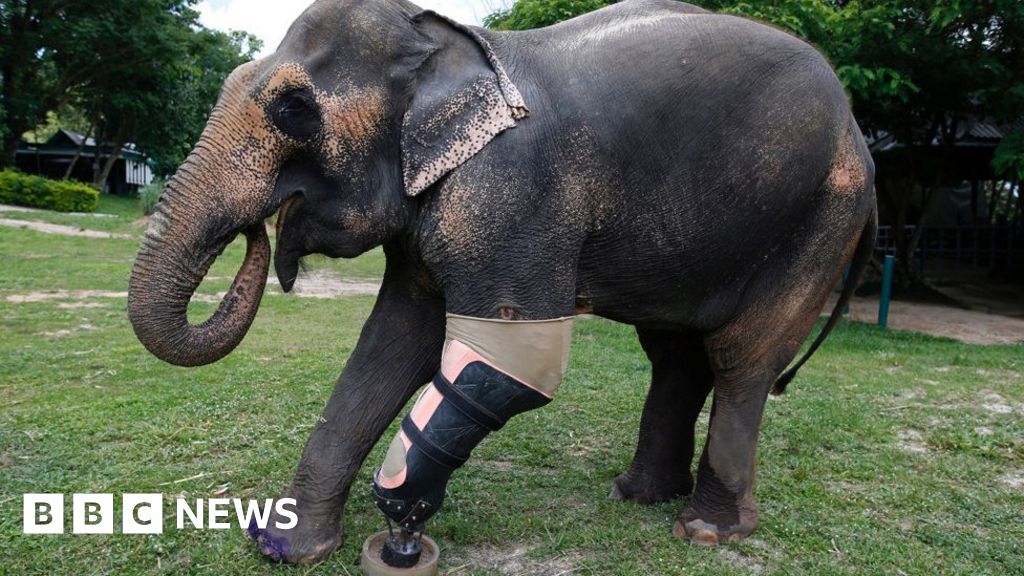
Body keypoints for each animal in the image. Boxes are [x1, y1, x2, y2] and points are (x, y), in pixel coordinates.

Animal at [127, 0, 877, 565]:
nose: (259, 232)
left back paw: (705, 530)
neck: (449, 45)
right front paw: (290, 549)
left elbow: (515, 362)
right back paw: (638, 495)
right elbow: (393, 344)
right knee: (674, 353)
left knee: (741, 353)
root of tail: (858, 134)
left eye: (292, 109)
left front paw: (400, 507)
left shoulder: (513, 193)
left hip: (822, 214)